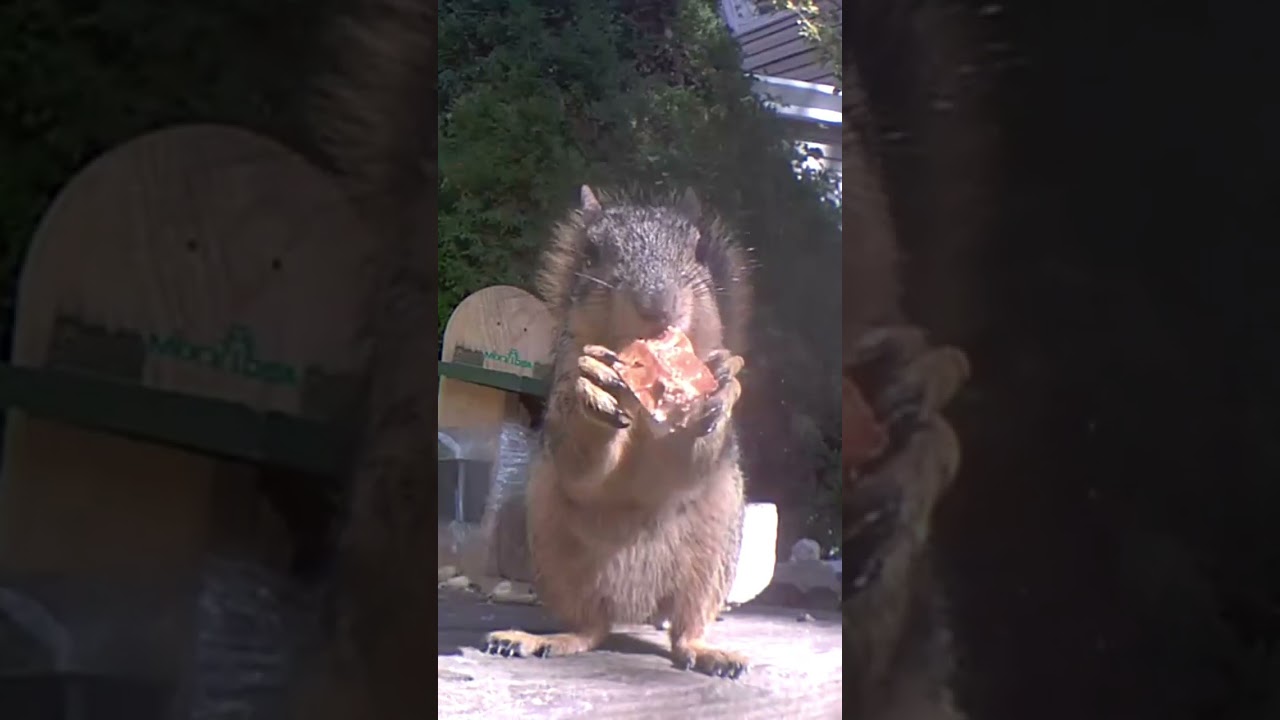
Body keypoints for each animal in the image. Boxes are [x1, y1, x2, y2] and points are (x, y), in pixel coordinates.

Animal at [482, 185, 755, 679]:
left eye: (696, 250)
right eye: (592, 252)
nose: (657, 305)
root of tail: (637, 608)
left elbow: (693, 461)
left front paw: (722, 386)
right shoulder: (564, 381)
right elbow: (580, 461)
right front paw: (592, 387)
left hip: (711, 561)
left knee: (685, 630)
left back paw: (710, 653)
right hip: (555, 556)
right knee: (590, 629)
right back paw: (536, 639)